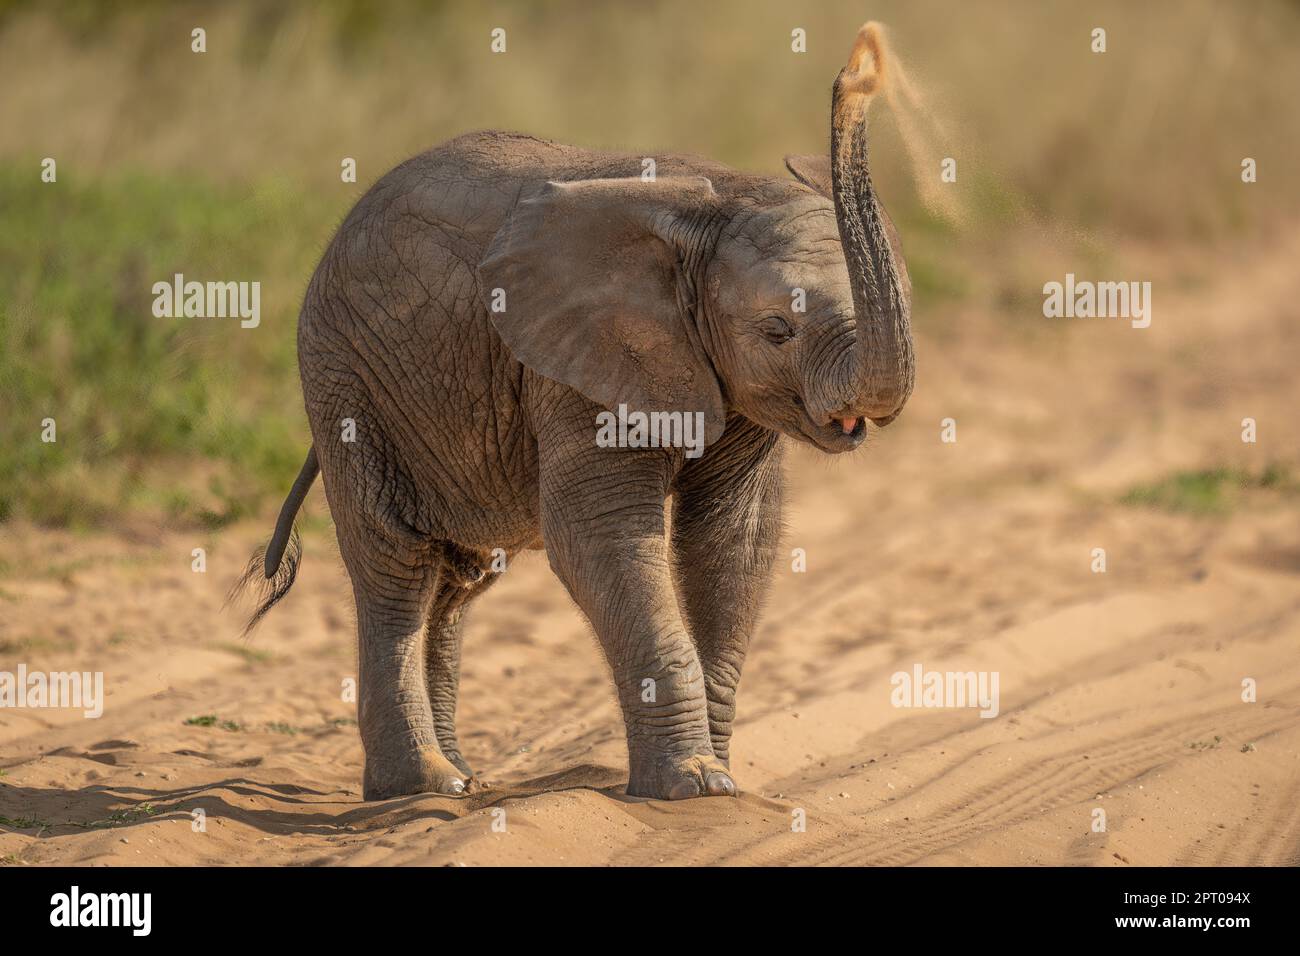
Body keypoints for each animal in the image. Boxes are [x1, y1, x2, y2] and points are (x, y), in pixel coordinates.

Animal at [232, 23, 913, 802]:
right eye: (778, 330)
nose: (858, 70)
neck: (721, 203)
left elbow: (732, 541)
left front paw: (720, 778)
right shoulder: (573, 363)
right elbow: (599, 535)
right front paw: (693, 786)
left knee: (456, 577)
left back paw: (463, 780)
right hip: (343, 374)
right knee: (396, 563)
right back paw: (424, 787)